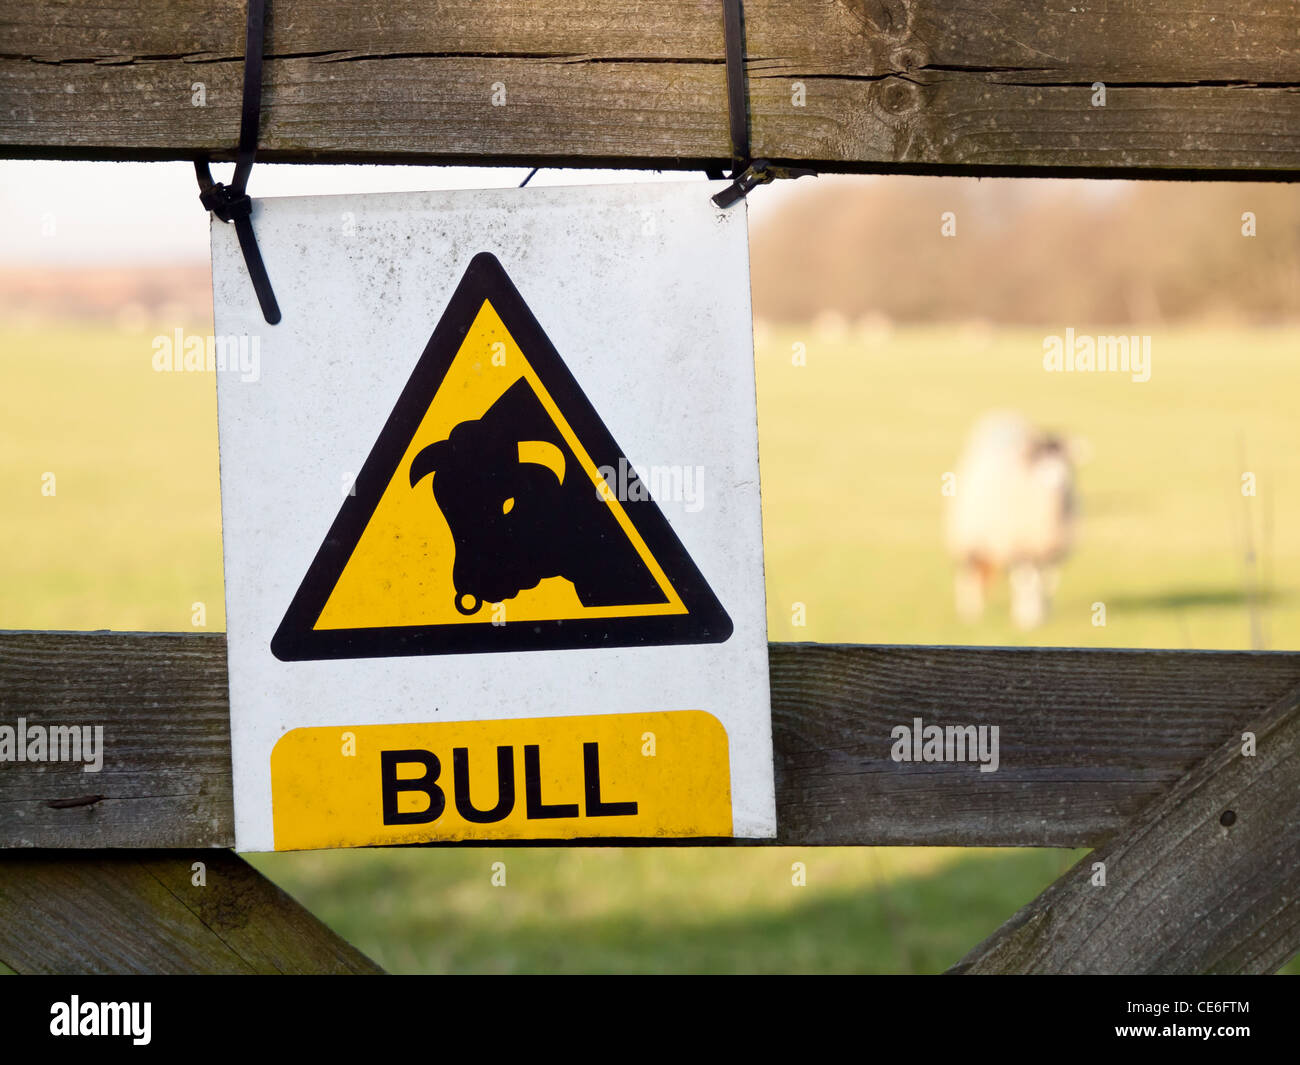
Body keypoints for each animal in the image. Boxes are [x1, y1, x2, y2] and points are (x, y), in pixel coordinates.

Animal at [944, 411, 1078, 630]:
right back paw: (971, 613)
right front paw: (1028, 618)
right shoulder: (1021, 547)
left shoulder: (1053, 553)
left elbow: (1047, 582)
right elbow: (1027, 582)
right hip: (967, 540)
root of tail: (1001, 413)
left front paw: (1043, 613)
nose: (1059, 483)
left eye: (1066, 461)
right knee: (968, 577)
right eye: (1041, 459)